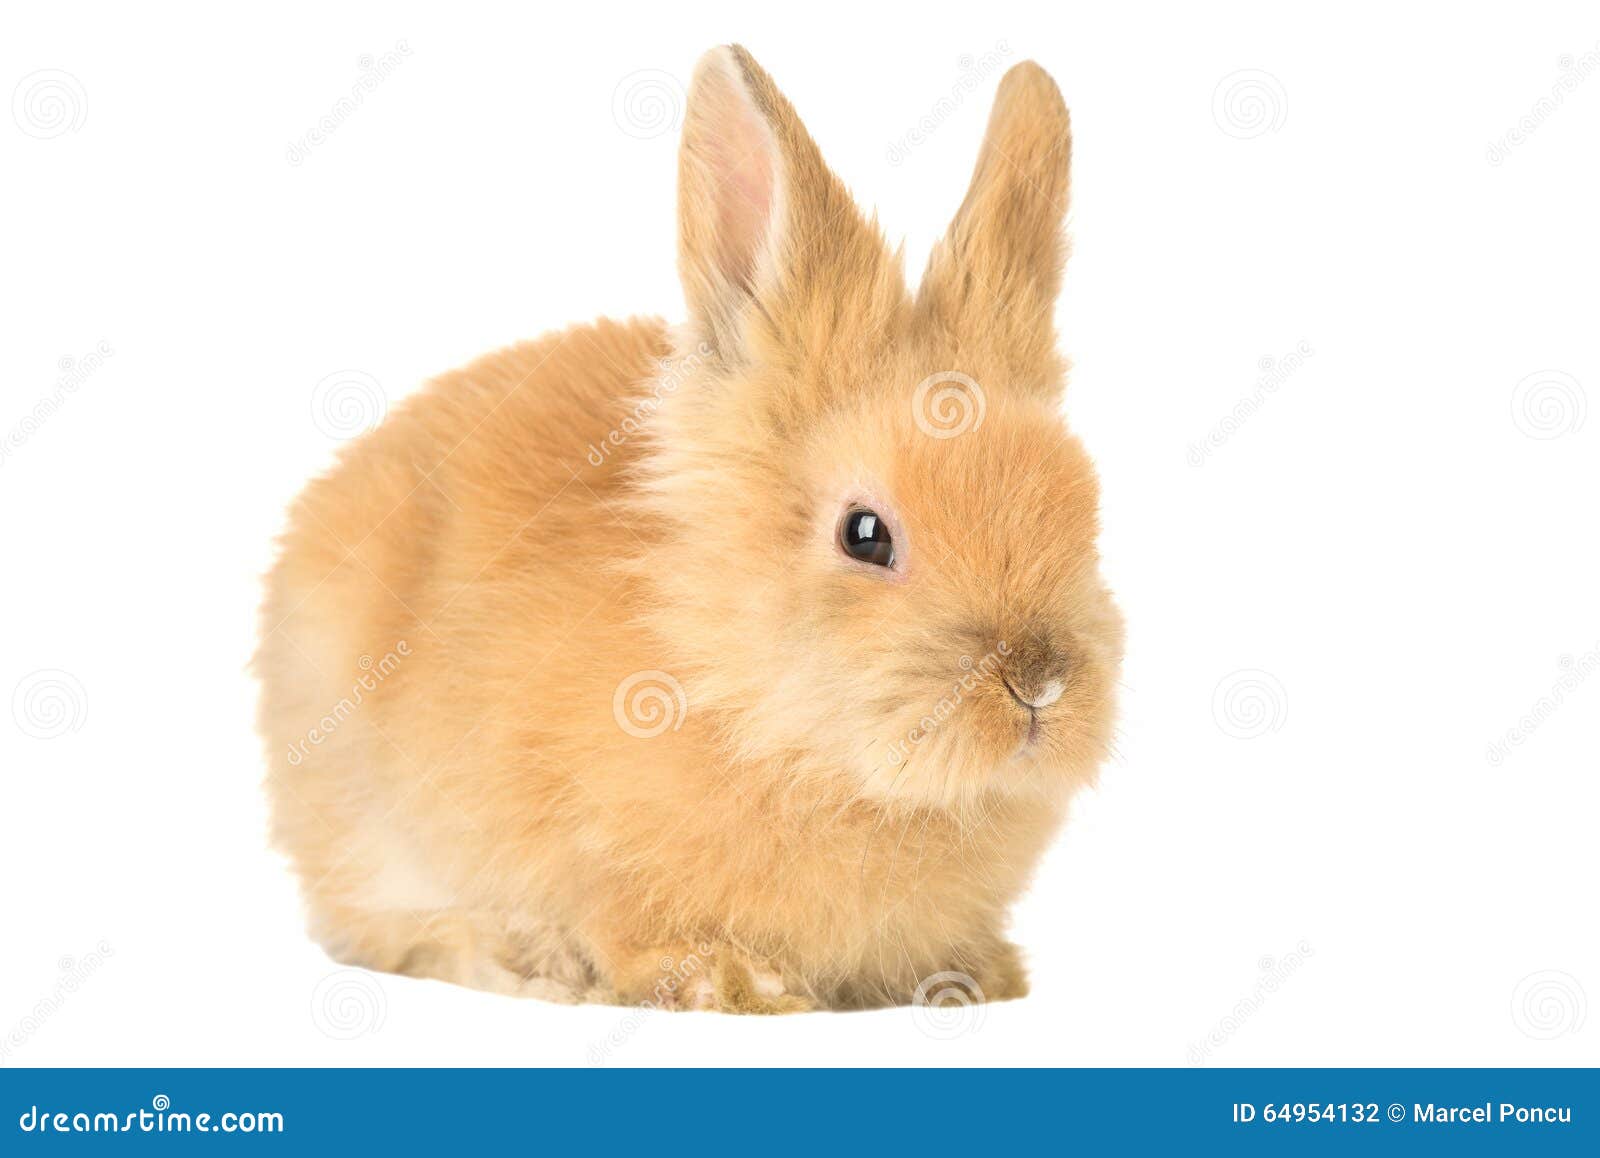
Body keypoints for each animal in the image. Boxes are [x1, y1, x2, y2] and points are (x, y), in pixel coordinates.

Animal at [255, 44, 1123, 1014]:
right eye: (866, 534)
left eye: (1084, 508)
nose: (1040, 681)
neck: (740, 696)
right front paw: (731, 981)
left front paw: (977, 977)